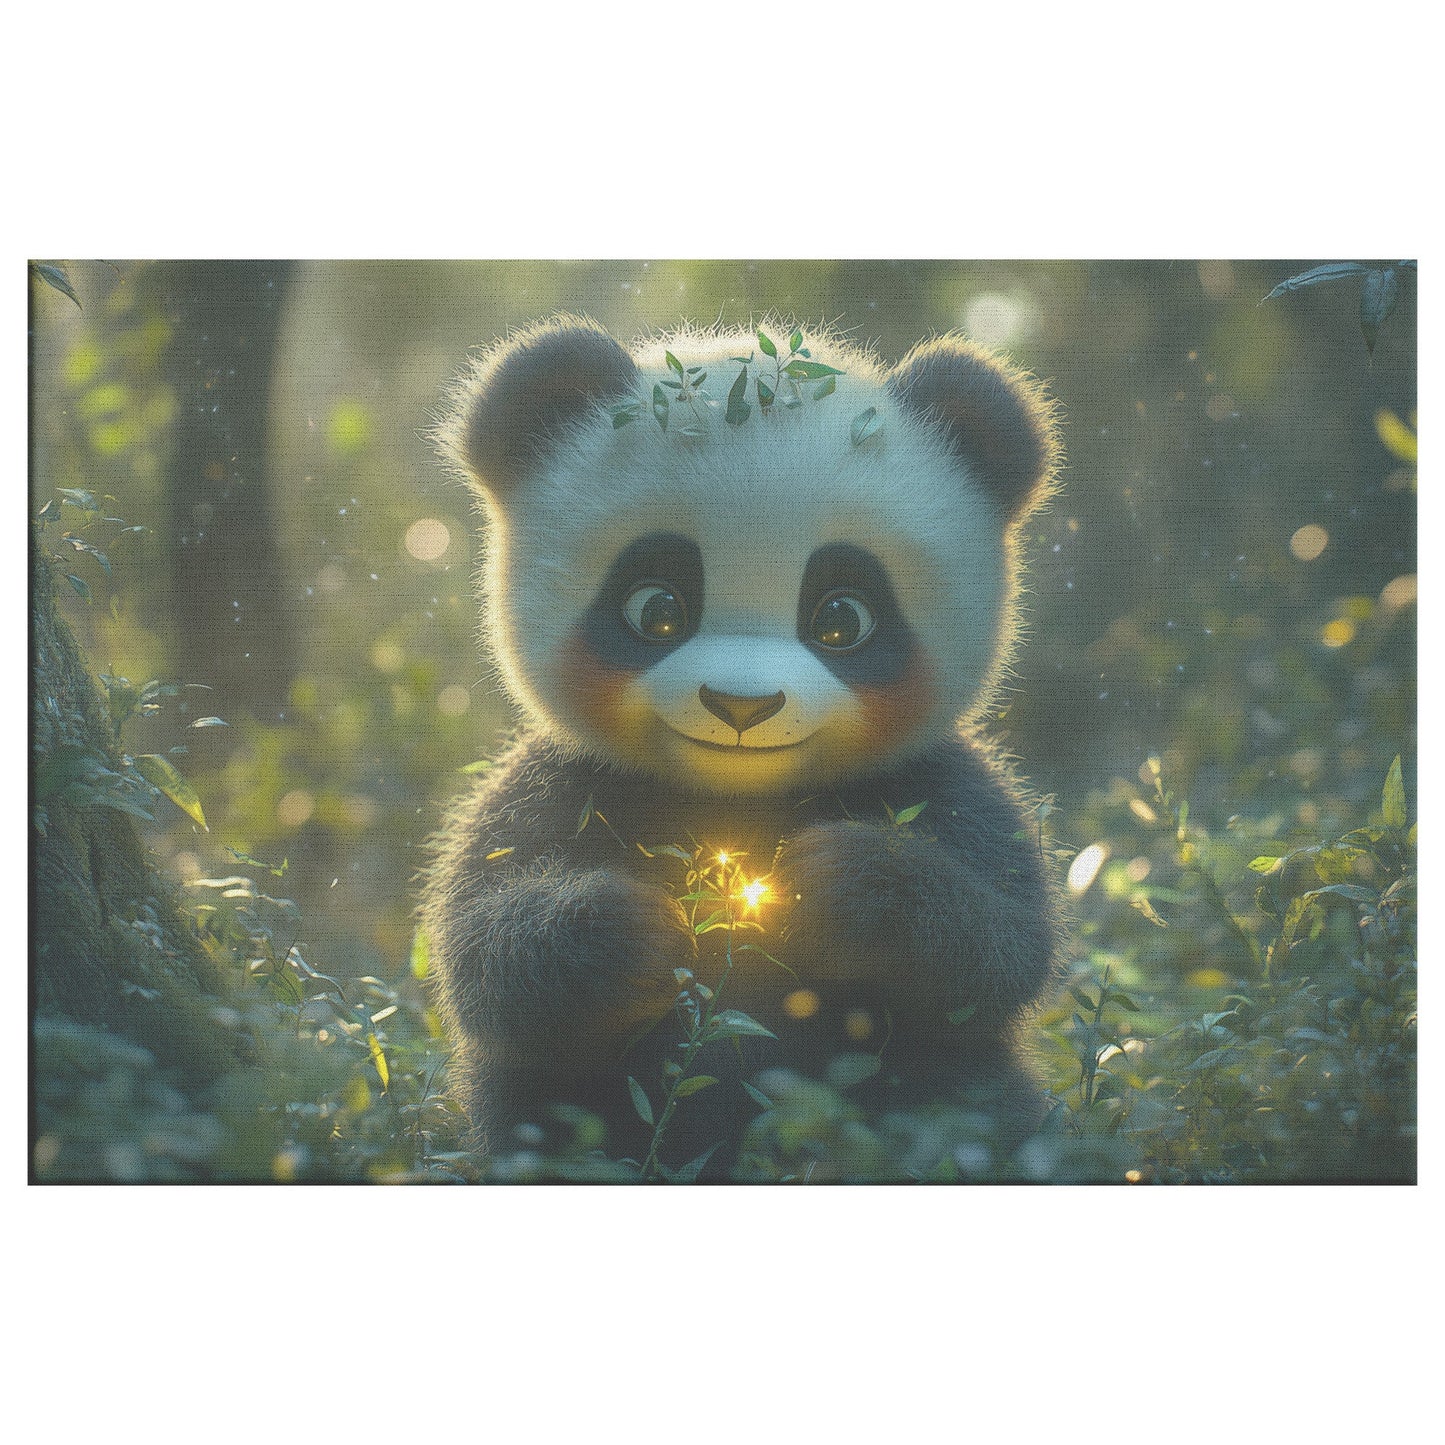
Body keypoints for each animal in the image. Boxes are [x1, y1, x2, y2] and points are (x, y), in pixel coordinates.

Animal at [421, 314, 1065, 1178]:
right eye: (656, 607)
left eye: (841, 617)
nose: (741, 706)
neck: (739, 804)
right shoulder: (558, 783)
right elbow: (482, 948)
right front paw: (636, 930)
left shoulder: (940, 783)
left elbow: (1003, 947)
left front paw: (834, 888)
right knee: (541, 1118)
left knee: (973, 1104)